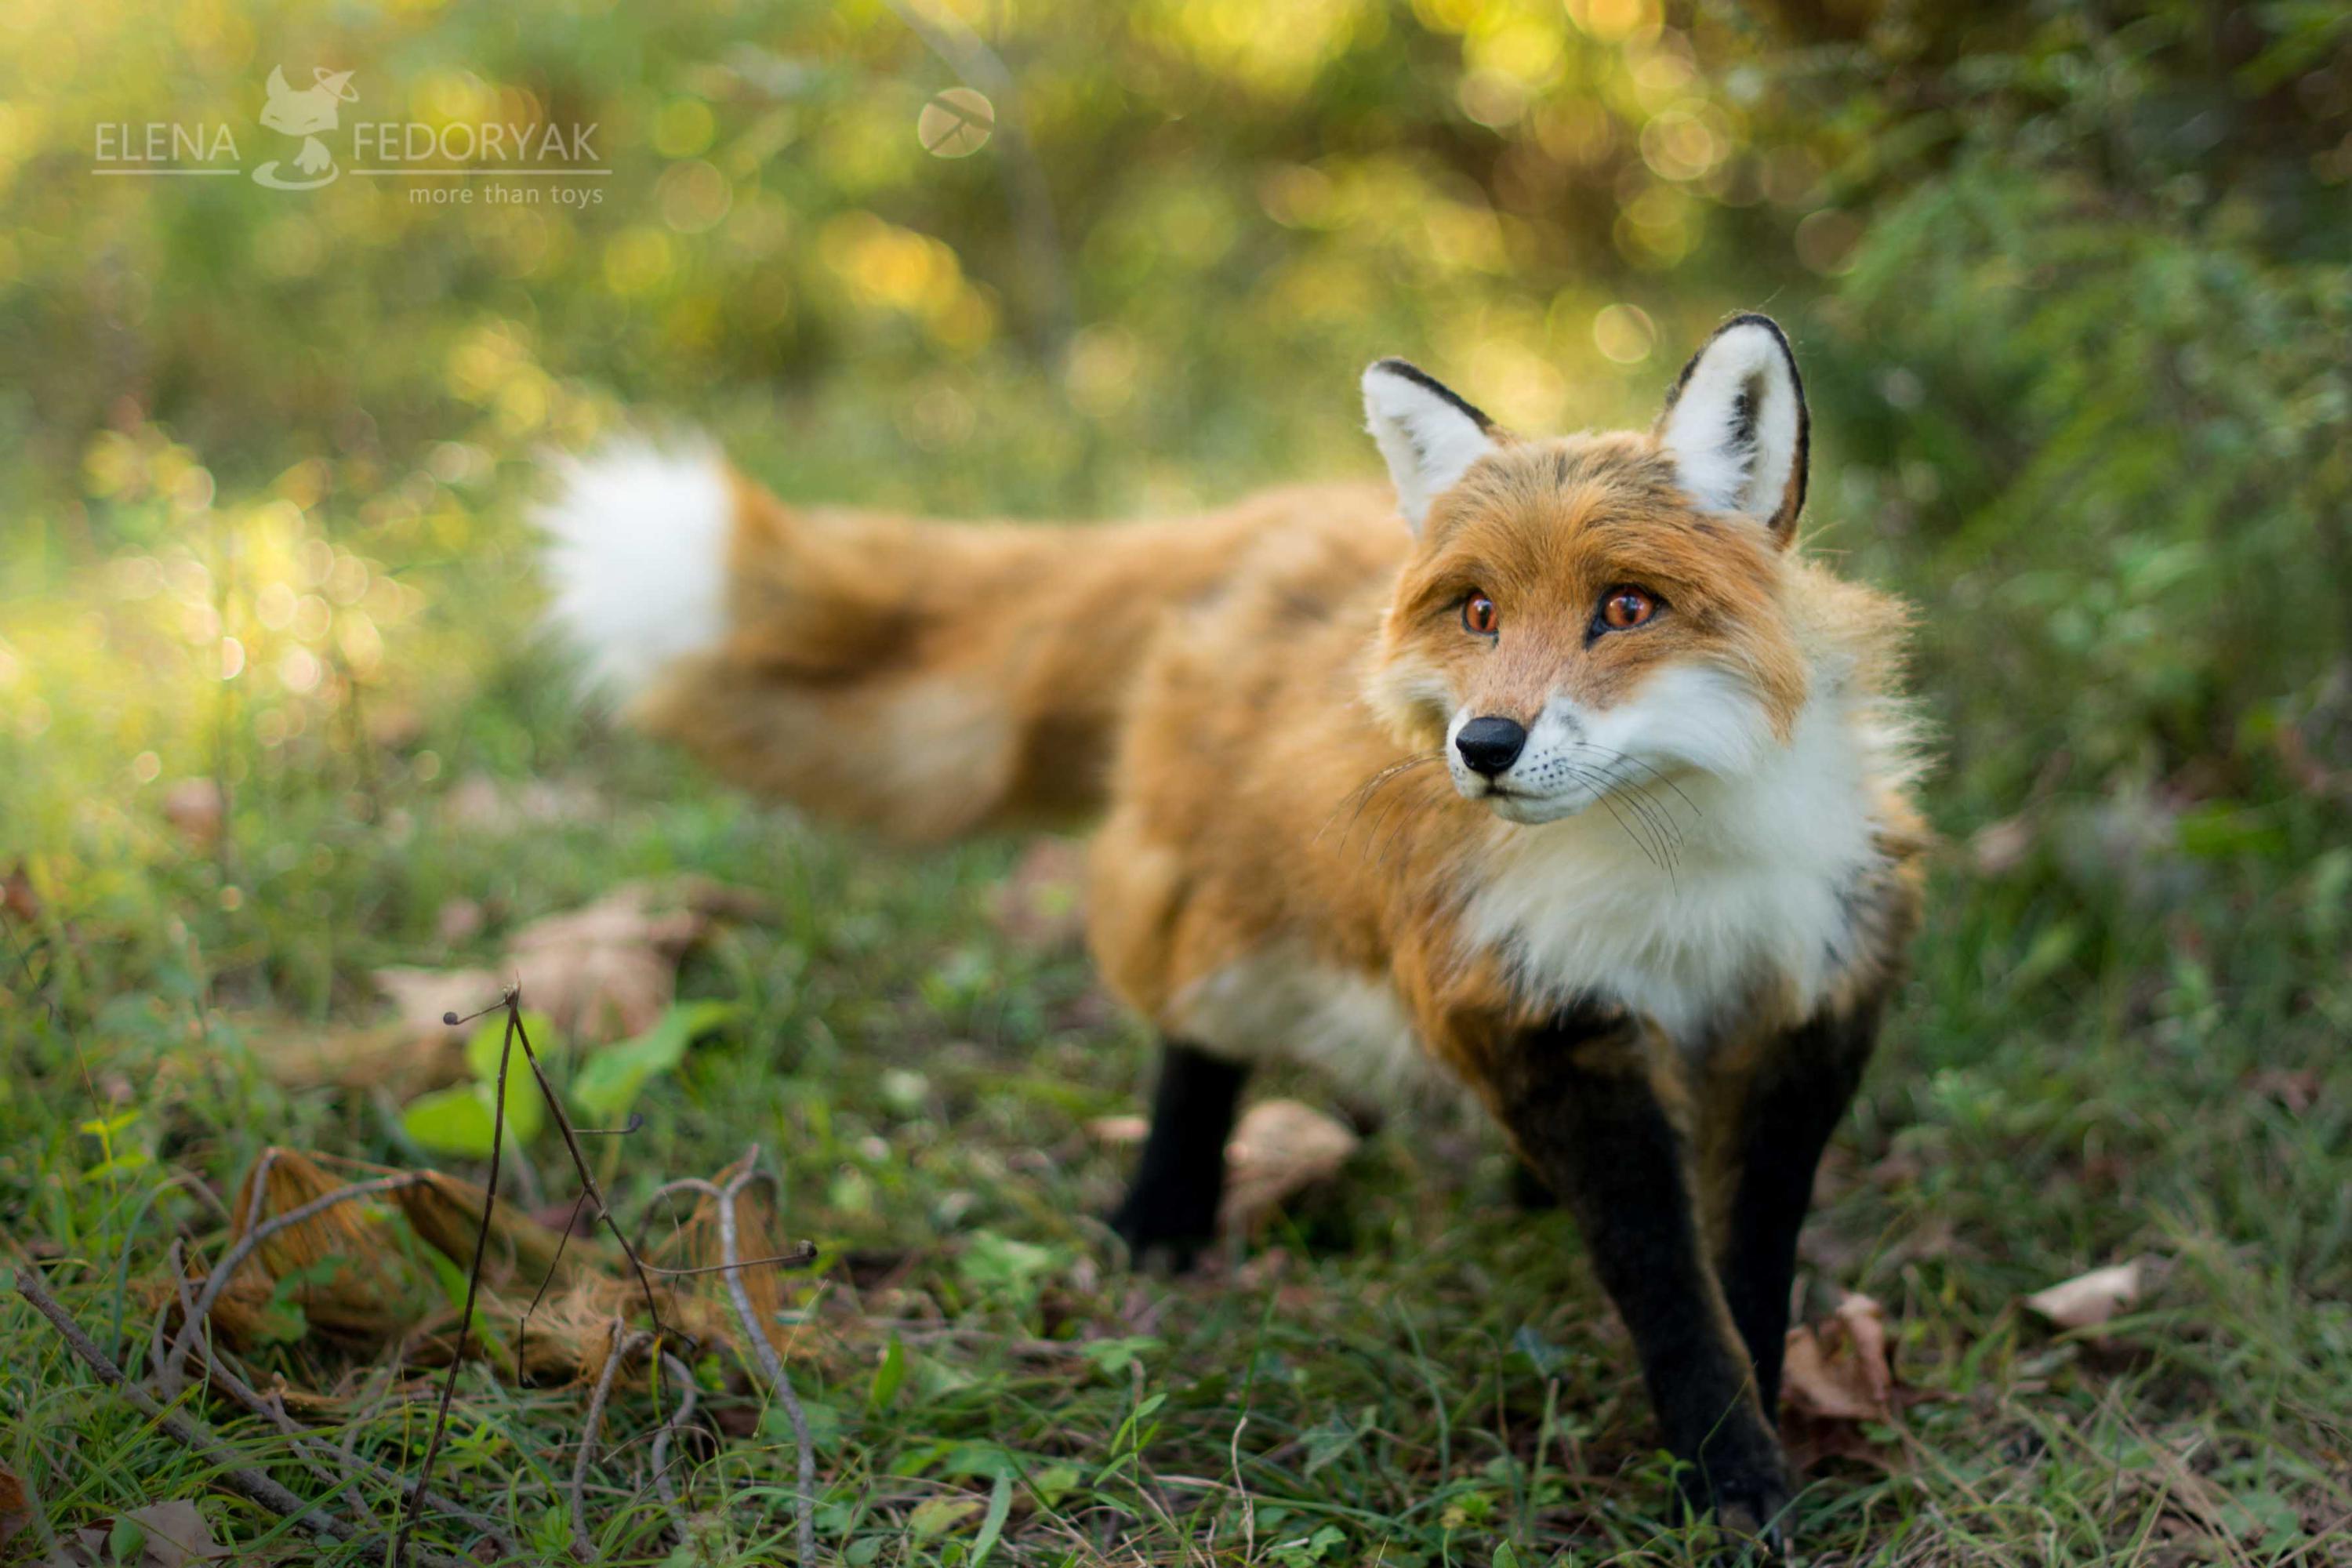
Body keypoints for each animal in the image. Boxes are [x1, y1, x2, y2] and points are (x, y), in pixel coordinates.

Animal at [540, 315, 1928, 1544]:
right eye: (1478, 614)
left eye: (1627, 609)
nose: (1484, 746)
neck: (1675, 877)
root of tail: (1264, 518)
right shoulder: (1528, 1011)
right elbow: (1667, 1287)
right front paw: (1725, 1472)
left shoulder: (1807, 1001)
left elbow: (1743, 1270)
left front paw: (1757, 1432)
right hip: (1230, 928)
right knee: (1195, 1039)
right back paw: (1163, 1214)